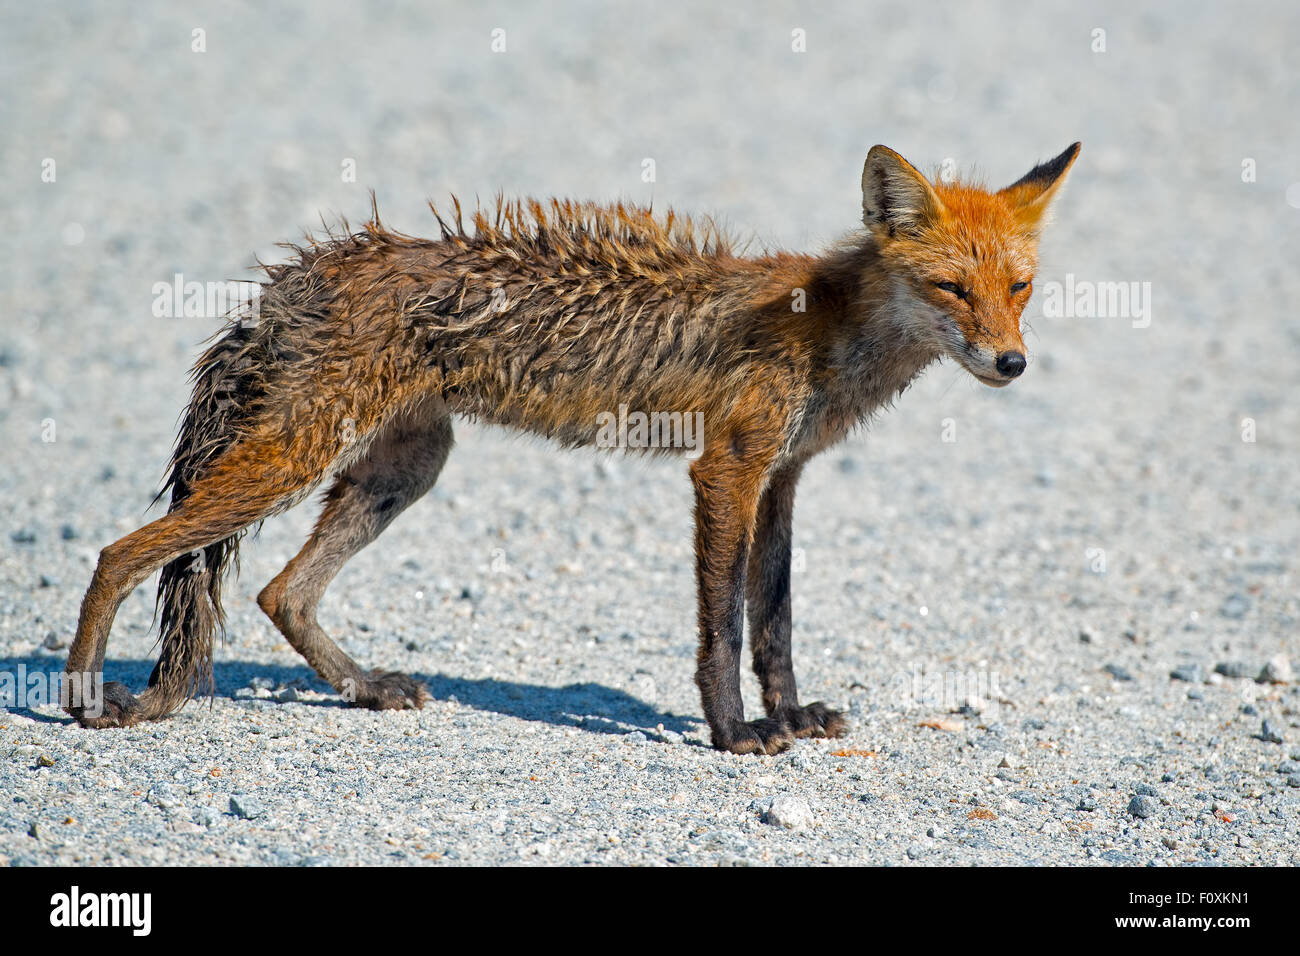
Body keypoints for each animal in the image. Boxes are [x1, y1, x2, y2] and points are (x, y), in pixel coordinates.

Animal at [63, 142, 1080, 754]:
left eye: (1019, 288)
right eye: (952, 289)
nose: (1012, 362)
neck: (826, 328)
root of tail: (307, 268)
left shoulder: (784, 476)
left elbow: (778, 621)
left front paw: (791, 714)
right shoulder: (727, 470)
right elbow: (725, 626)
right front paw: (733, 734)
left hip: (405, 469)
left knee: (281, 591)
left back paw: (363, 688)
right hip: (291, 460)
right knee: (120, 553)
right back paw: (83, 698)